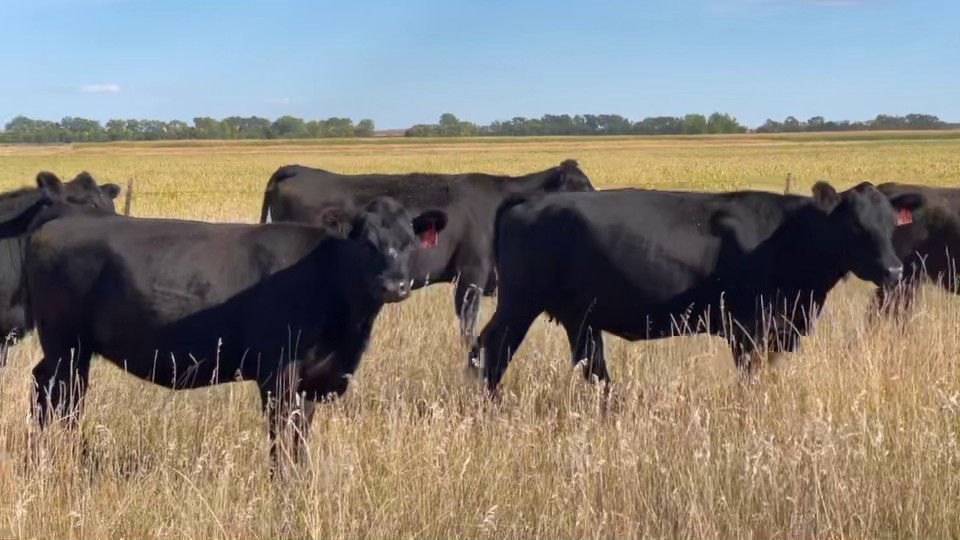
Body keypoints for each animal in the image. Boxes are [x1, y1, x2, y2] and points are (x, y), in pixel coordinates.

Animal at [25, 196, 447, 466]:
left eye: (409, 241)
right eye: (366, 241)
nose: (393, 286)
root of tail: (62, 221)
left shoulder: (311, 379)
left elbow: (300, 438)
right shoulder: (278, 373)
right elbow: (280, 440)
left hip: (73, 351)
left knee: (57, 393)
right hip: (65, 345)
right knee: (58, 397)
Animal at [468, 181, 912, 393]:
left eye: (891, 223)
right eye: (855, 226)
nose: (894, 270)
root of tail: (526, 200)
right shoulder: (747, 327)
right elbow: (750, 380)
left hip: (579, 316)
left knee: (593, 367)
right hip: (520, 302)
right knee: (491, 349)